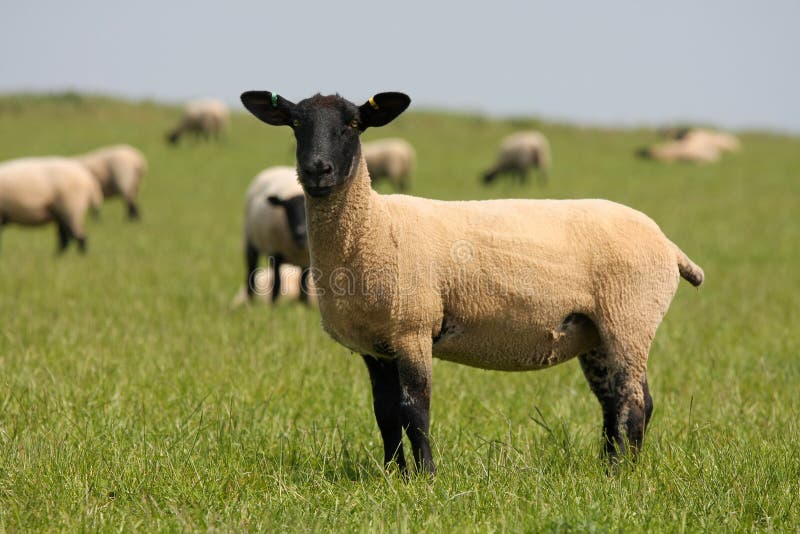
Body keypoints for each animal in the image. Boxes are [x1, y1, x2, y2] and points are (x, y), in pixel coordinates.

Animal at [243, 165, 311, 304]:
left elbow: (304, 286)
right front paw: (273, 305)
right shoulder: (275, 253)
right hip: (250, 240)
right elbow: (277, 284)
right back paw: (250, 302)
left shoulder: (308, 260)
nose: (300, 232)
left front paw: (303, 304)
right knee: (251, 271)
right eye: (288, 209)